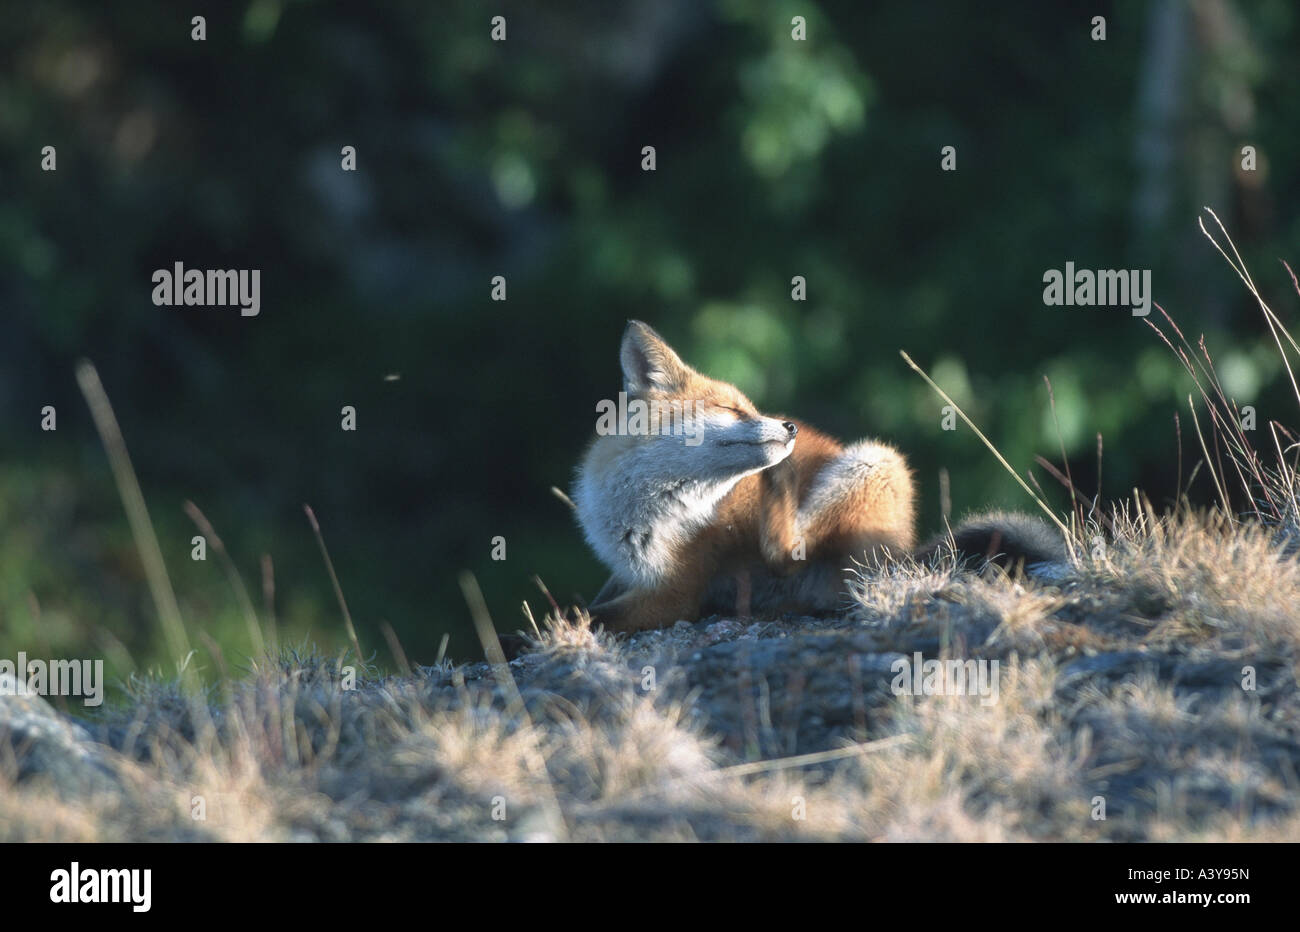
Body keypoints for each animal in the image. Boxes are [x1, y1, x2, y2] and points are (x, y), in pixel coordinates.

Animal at [572, 321, 1067, 634]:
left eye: (749, 408)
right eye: (732, 410)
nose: (789, 427)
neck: (642, 508)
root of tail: (903, 553)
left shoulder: (674, 592)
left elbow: (588, 616)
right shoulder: (628, 577)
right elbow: (591, 602)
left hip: (872, 461)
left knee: (788, 554)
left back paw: (780, 484)